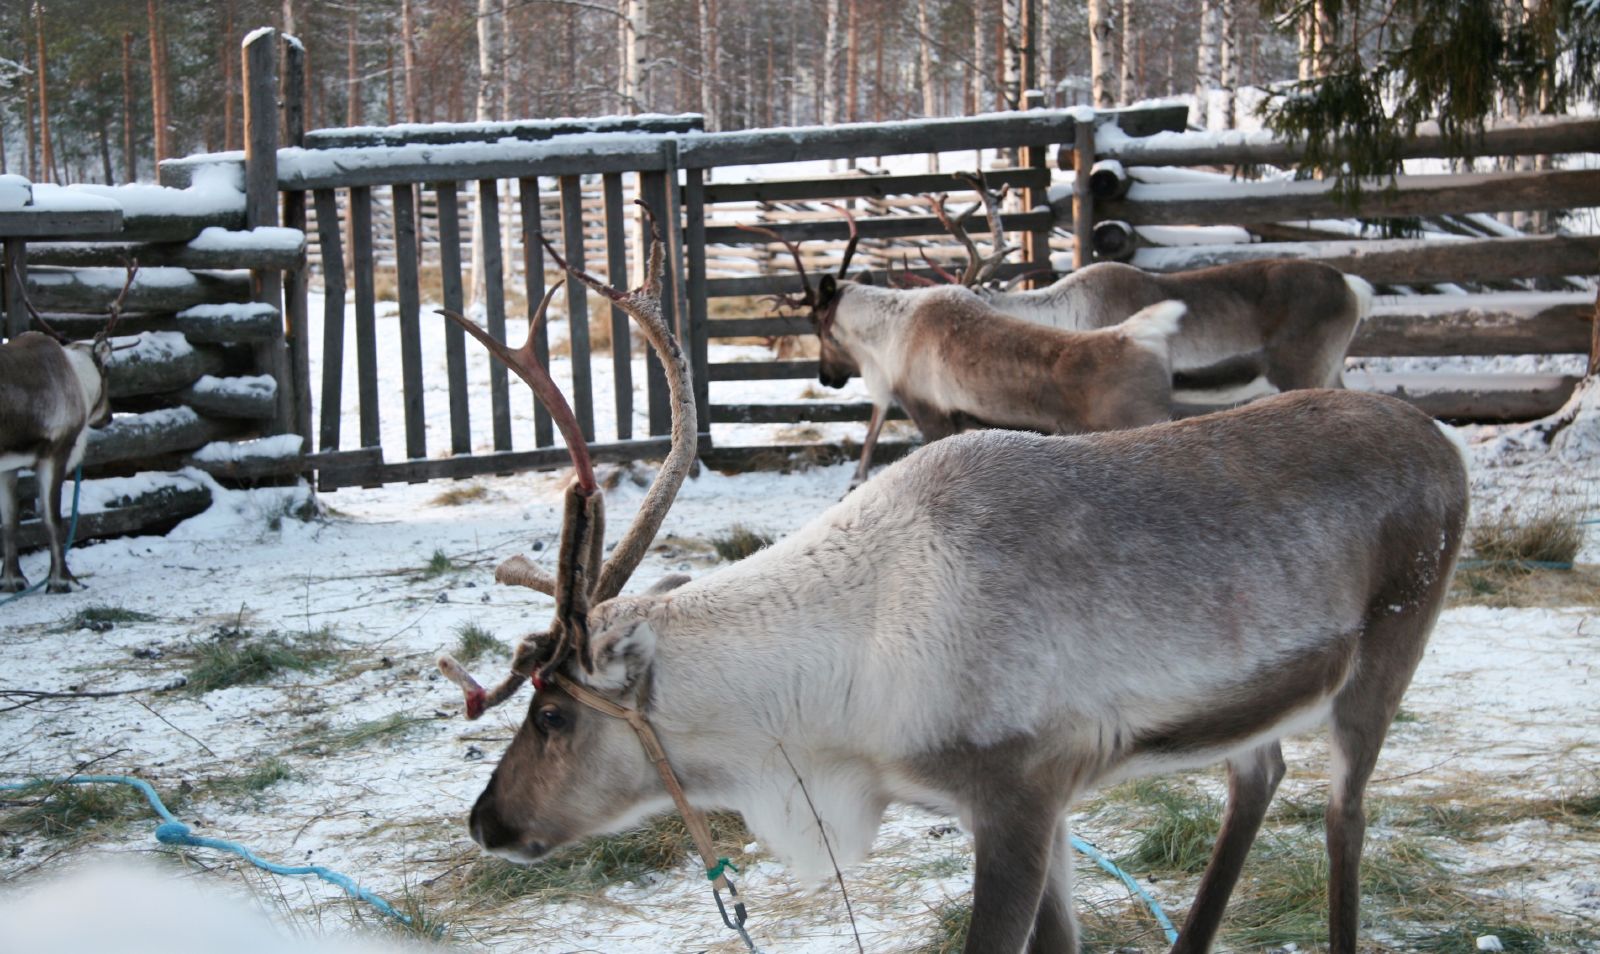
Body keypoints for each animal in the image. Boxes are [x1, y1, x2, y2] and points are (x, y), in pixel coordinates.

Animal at [0, 264, 135, 595]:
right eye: (108, 370)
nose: (108, 416)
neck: (76, 375)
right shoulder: (56, 451)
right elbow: (53, 519)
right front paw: (63, 580)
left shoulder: (9, 464)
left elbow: (10, 522)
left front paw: (12, 580)